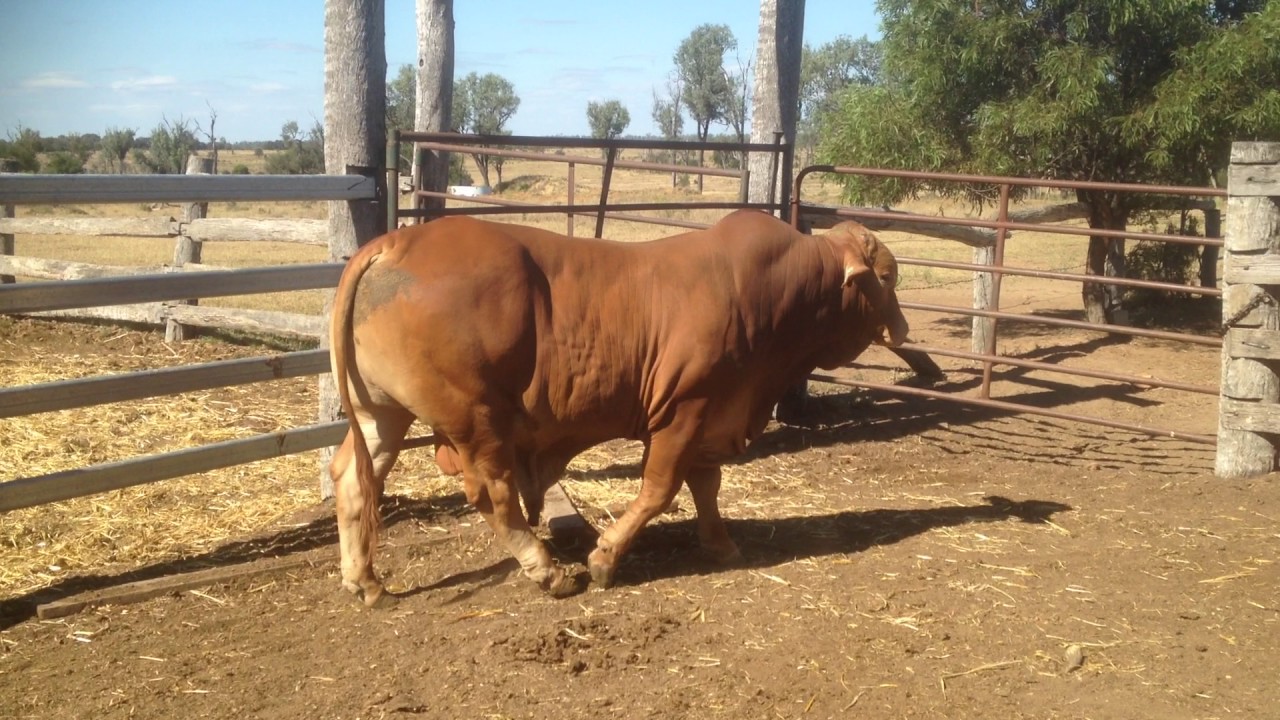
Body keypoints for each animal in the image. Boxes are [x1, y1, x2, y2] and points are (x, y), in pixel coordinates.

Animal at [328, 210, 909, 607]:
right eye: (888, 277)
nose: (902, 327)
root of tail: (395, 241)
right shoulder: (684, 409)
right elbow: (659, 489)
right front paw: (605, 558)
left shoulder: (712, 413)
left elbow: (706, 486)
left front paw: (721, 544)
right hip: (476, 418)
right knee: (493, 493)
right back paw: (548, 572)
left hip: (382, 411)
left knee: (353, 477)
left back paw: (366, 581)